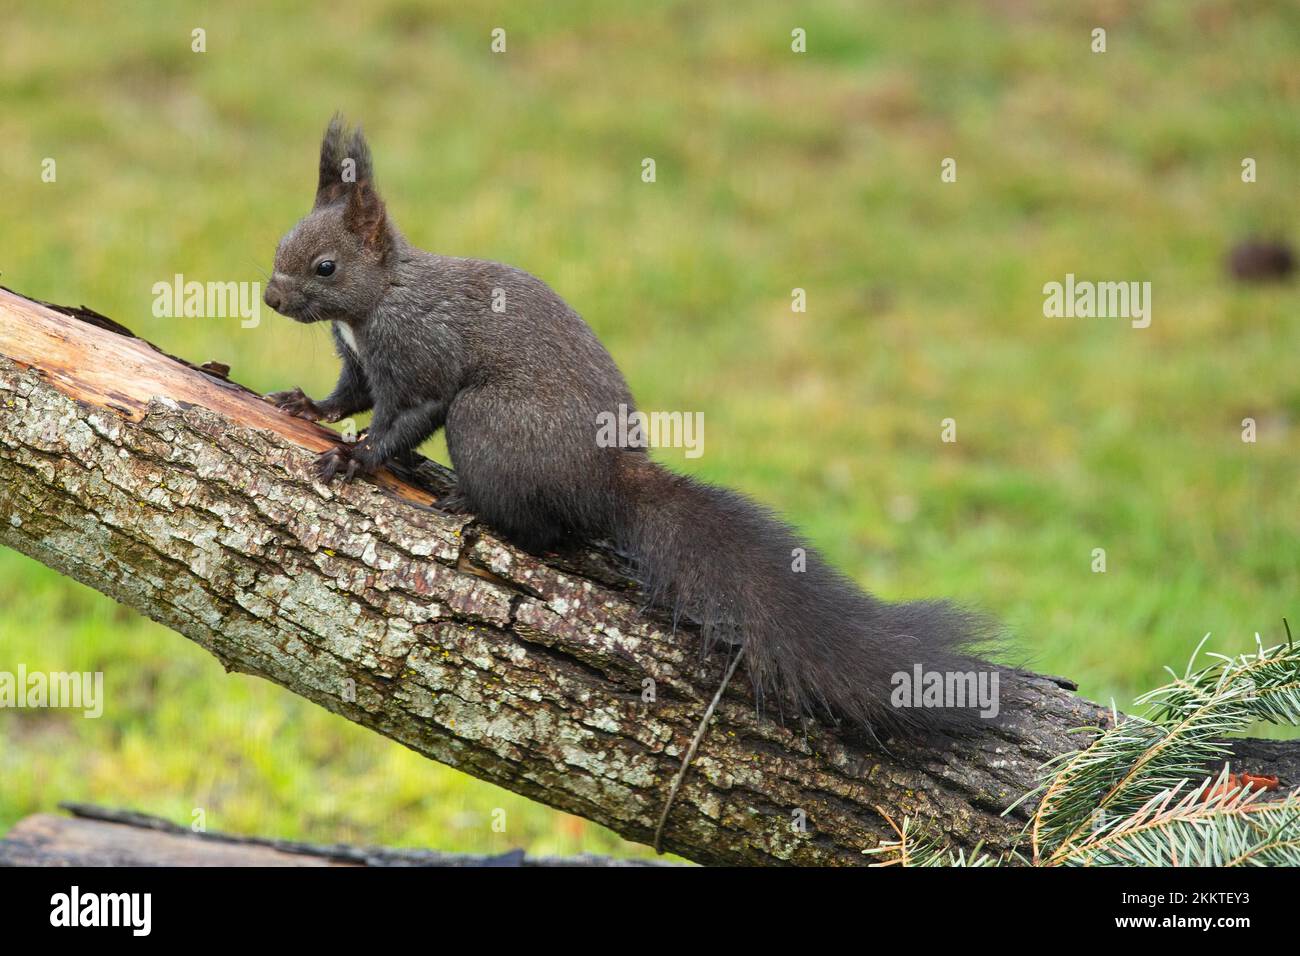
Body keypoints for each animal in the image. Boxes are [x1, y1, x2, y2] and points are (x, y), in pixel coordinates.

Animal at [264, 117, 997, 743]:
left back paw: (472, 502)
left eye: (326, 266)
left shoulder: (421, 360)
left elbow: (405, 418)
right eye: (280, 246)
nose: (269, 297)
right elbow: (347, 397)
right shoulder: (360, 363)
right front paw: (306, 407)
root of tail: (607, 480)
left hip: (490, 422)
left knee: (541, 527)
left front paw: (357, 459)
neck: (377, 302)